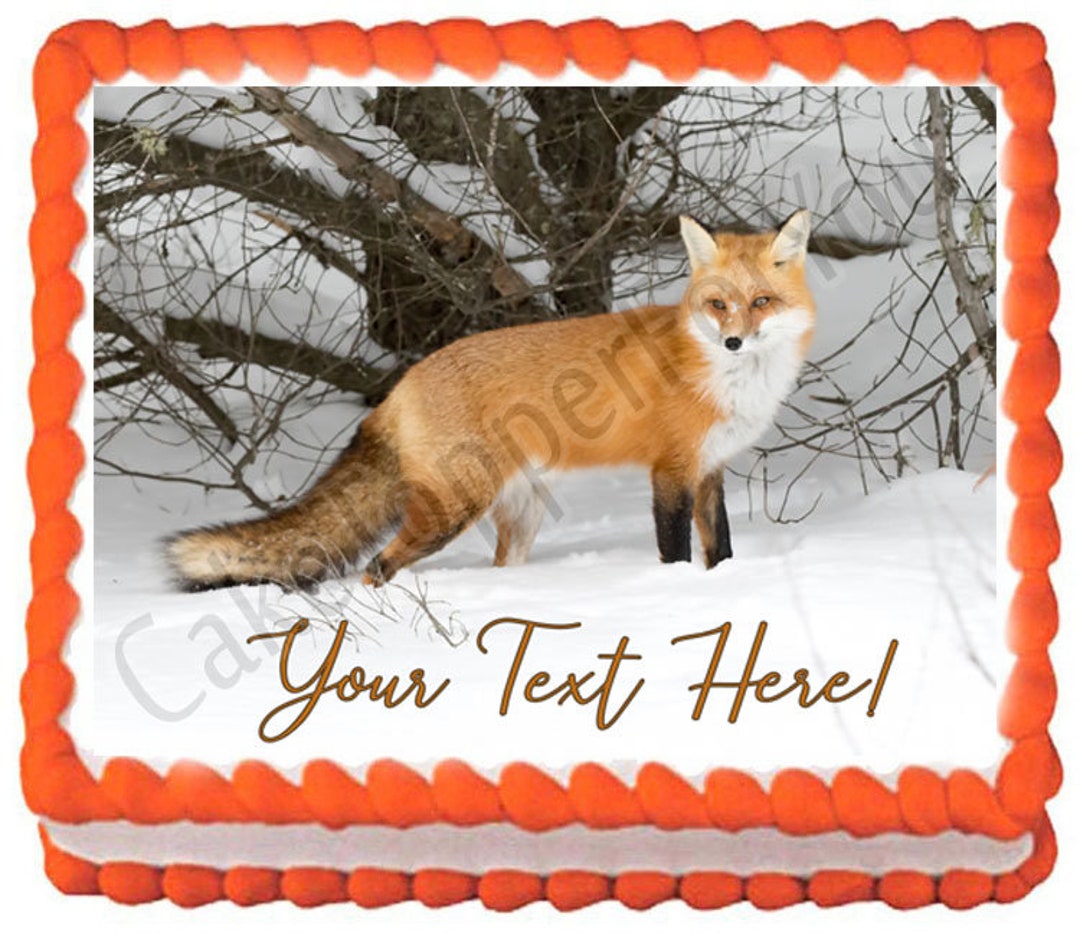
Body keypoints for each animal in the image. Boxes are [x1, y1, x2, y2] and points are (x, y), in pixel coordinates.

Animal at [167, 211, 815, 591]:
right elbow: (676, 552)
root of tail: (401, 384)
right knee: (377, 567)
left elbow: (721, 547)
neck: (726, 380)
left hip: (520, 517)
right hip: (451, 509)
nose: (733, 341)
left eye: (761, 302)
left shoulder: (710, 469)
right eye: (718, 305)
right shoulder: (670, 471)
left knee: (496, 567)